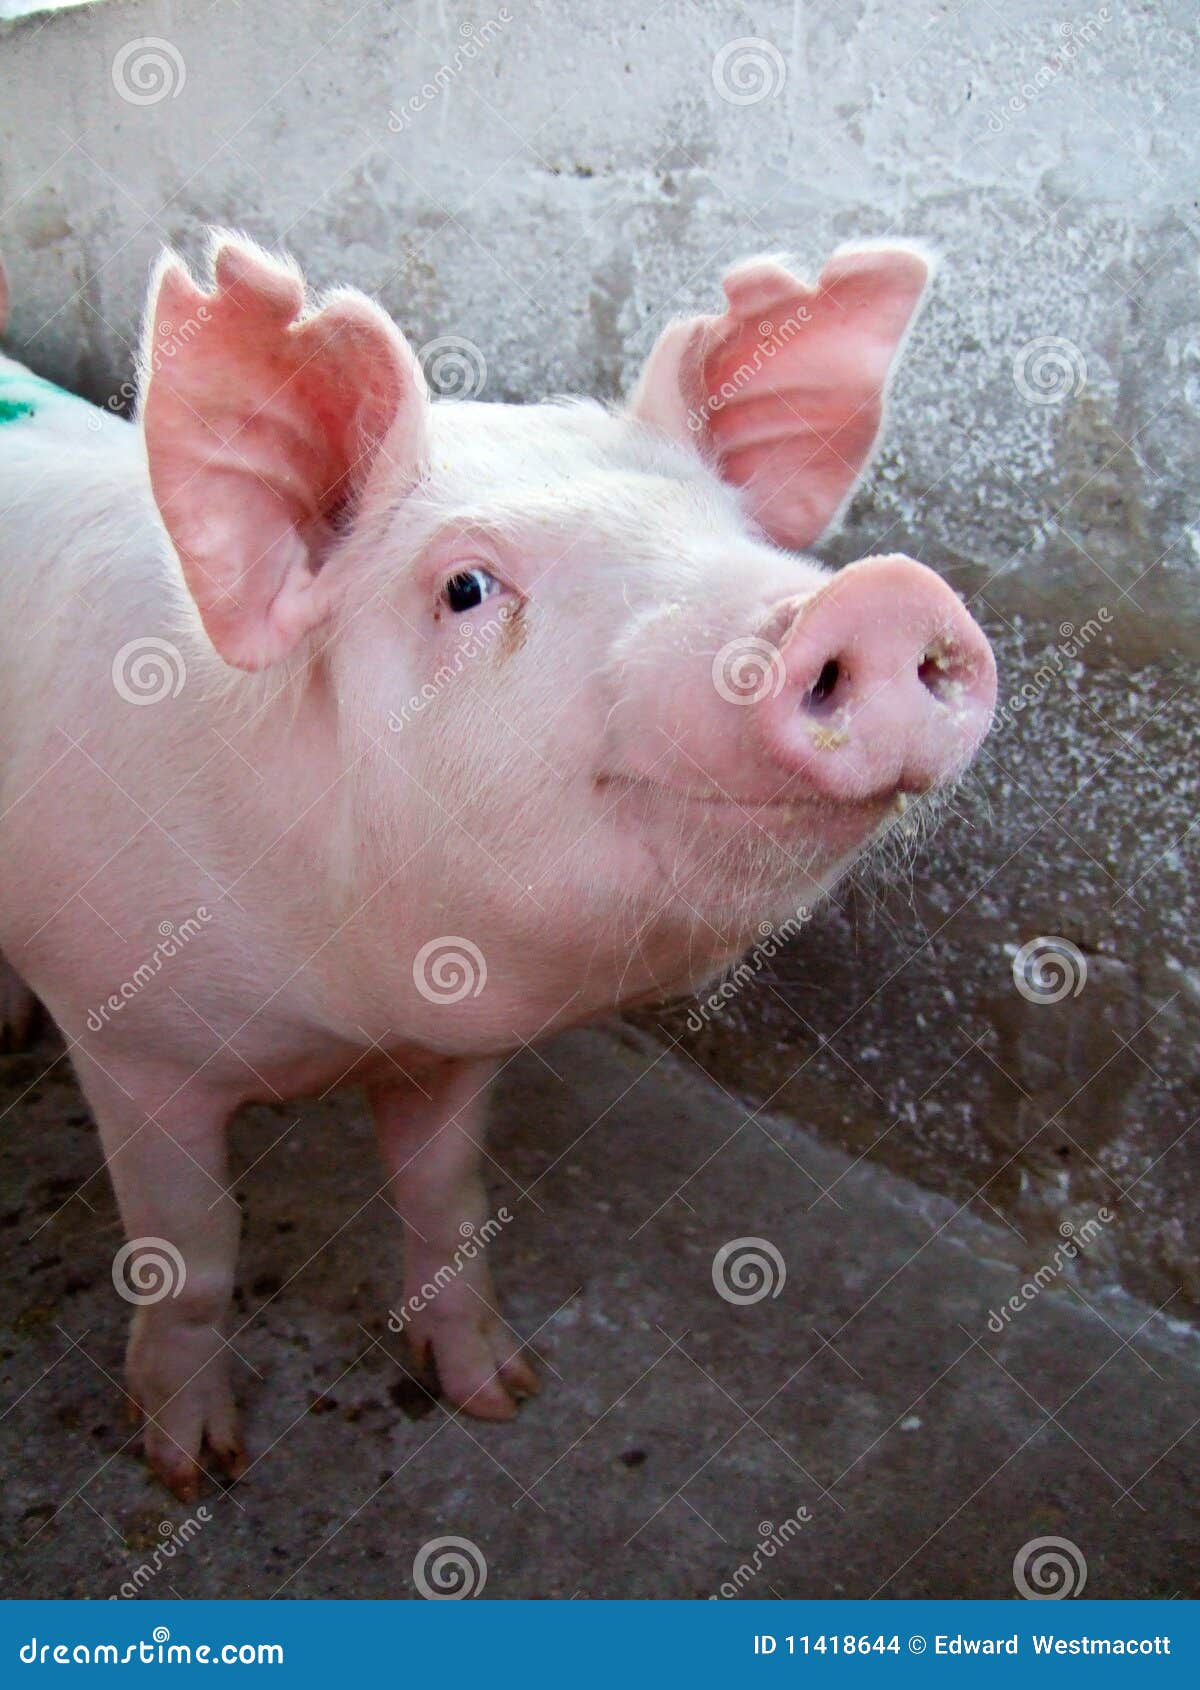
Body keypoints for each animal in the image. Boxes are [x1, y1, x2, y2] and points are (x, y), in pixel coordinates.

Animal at [0, 232, 996, 1499]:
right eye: (466, 588)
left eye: (744, 537)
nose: (880, 594)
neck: (344, 1016)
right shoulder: (130, 1038)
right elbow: (193, 1253)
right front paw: (194, 1467)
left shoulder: (452, 1053)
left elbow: (447, 1200)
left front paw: (499, 1393)